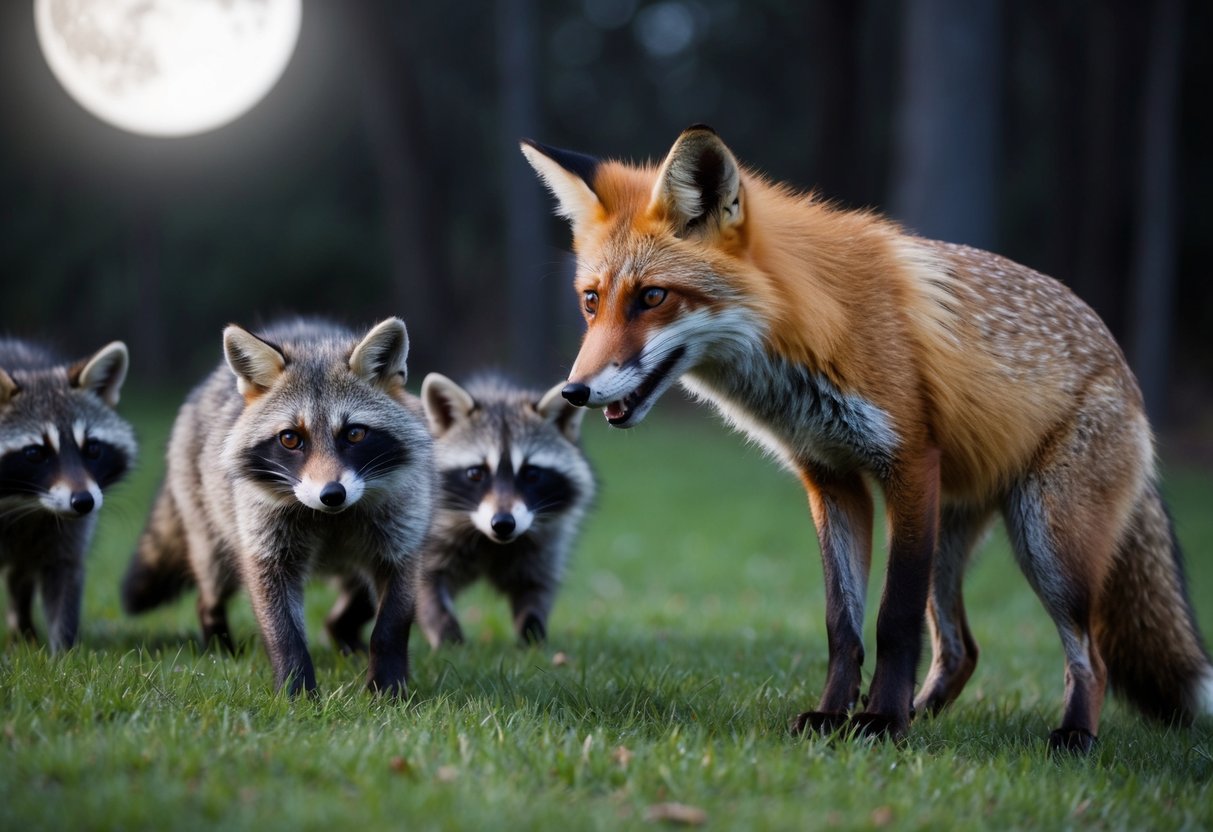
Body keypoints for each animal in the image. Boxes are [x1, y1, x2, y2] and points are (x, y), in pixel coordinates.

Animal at [0, 337, 135, 651]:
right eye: (35, 453)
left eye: (93, 448)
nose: (83, 502)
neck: (26, 504)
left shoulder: (66, 535)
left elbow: (64, 578)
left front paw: (62, 652)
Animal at [121, 318, 435, 696]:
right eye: (290, 439)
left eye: (355, 434)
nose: (332, 494)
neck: (330, 522)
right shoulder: (267, 549)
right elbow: (284, 633)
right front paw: (297, 690)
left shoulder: (401, 544)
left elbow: (391, 625)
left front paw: (387, 687)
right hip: (215, 548)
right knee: (208, 597)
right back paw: (220, 648)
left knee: (346, 612)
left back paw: (347, 640)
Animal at [408, 372, 596, 647]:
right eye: (476, 473)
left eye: (531, 474)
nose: (503, 523)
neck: (490, 540)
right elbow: (425, 585)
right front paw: (446, 634)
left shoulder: (544, 545)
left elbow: (535, 588)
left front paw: (532, 634)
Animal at [521, 125, 1213, 752]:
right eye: (591, 302)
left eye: (653, 297)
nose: (575, 391)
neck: (805, 333)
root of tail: (1126, 372)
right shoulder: (831, 478)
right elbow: (842, 624)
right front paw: (836, 717)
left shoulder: (908, 464)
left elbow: (893, 619)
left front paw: (881, 723)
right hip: (953, 538)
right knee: (963, 650)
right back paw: (927, 715)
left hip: (1047, 542)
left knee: (1090, 655)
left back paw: (1072, 735)